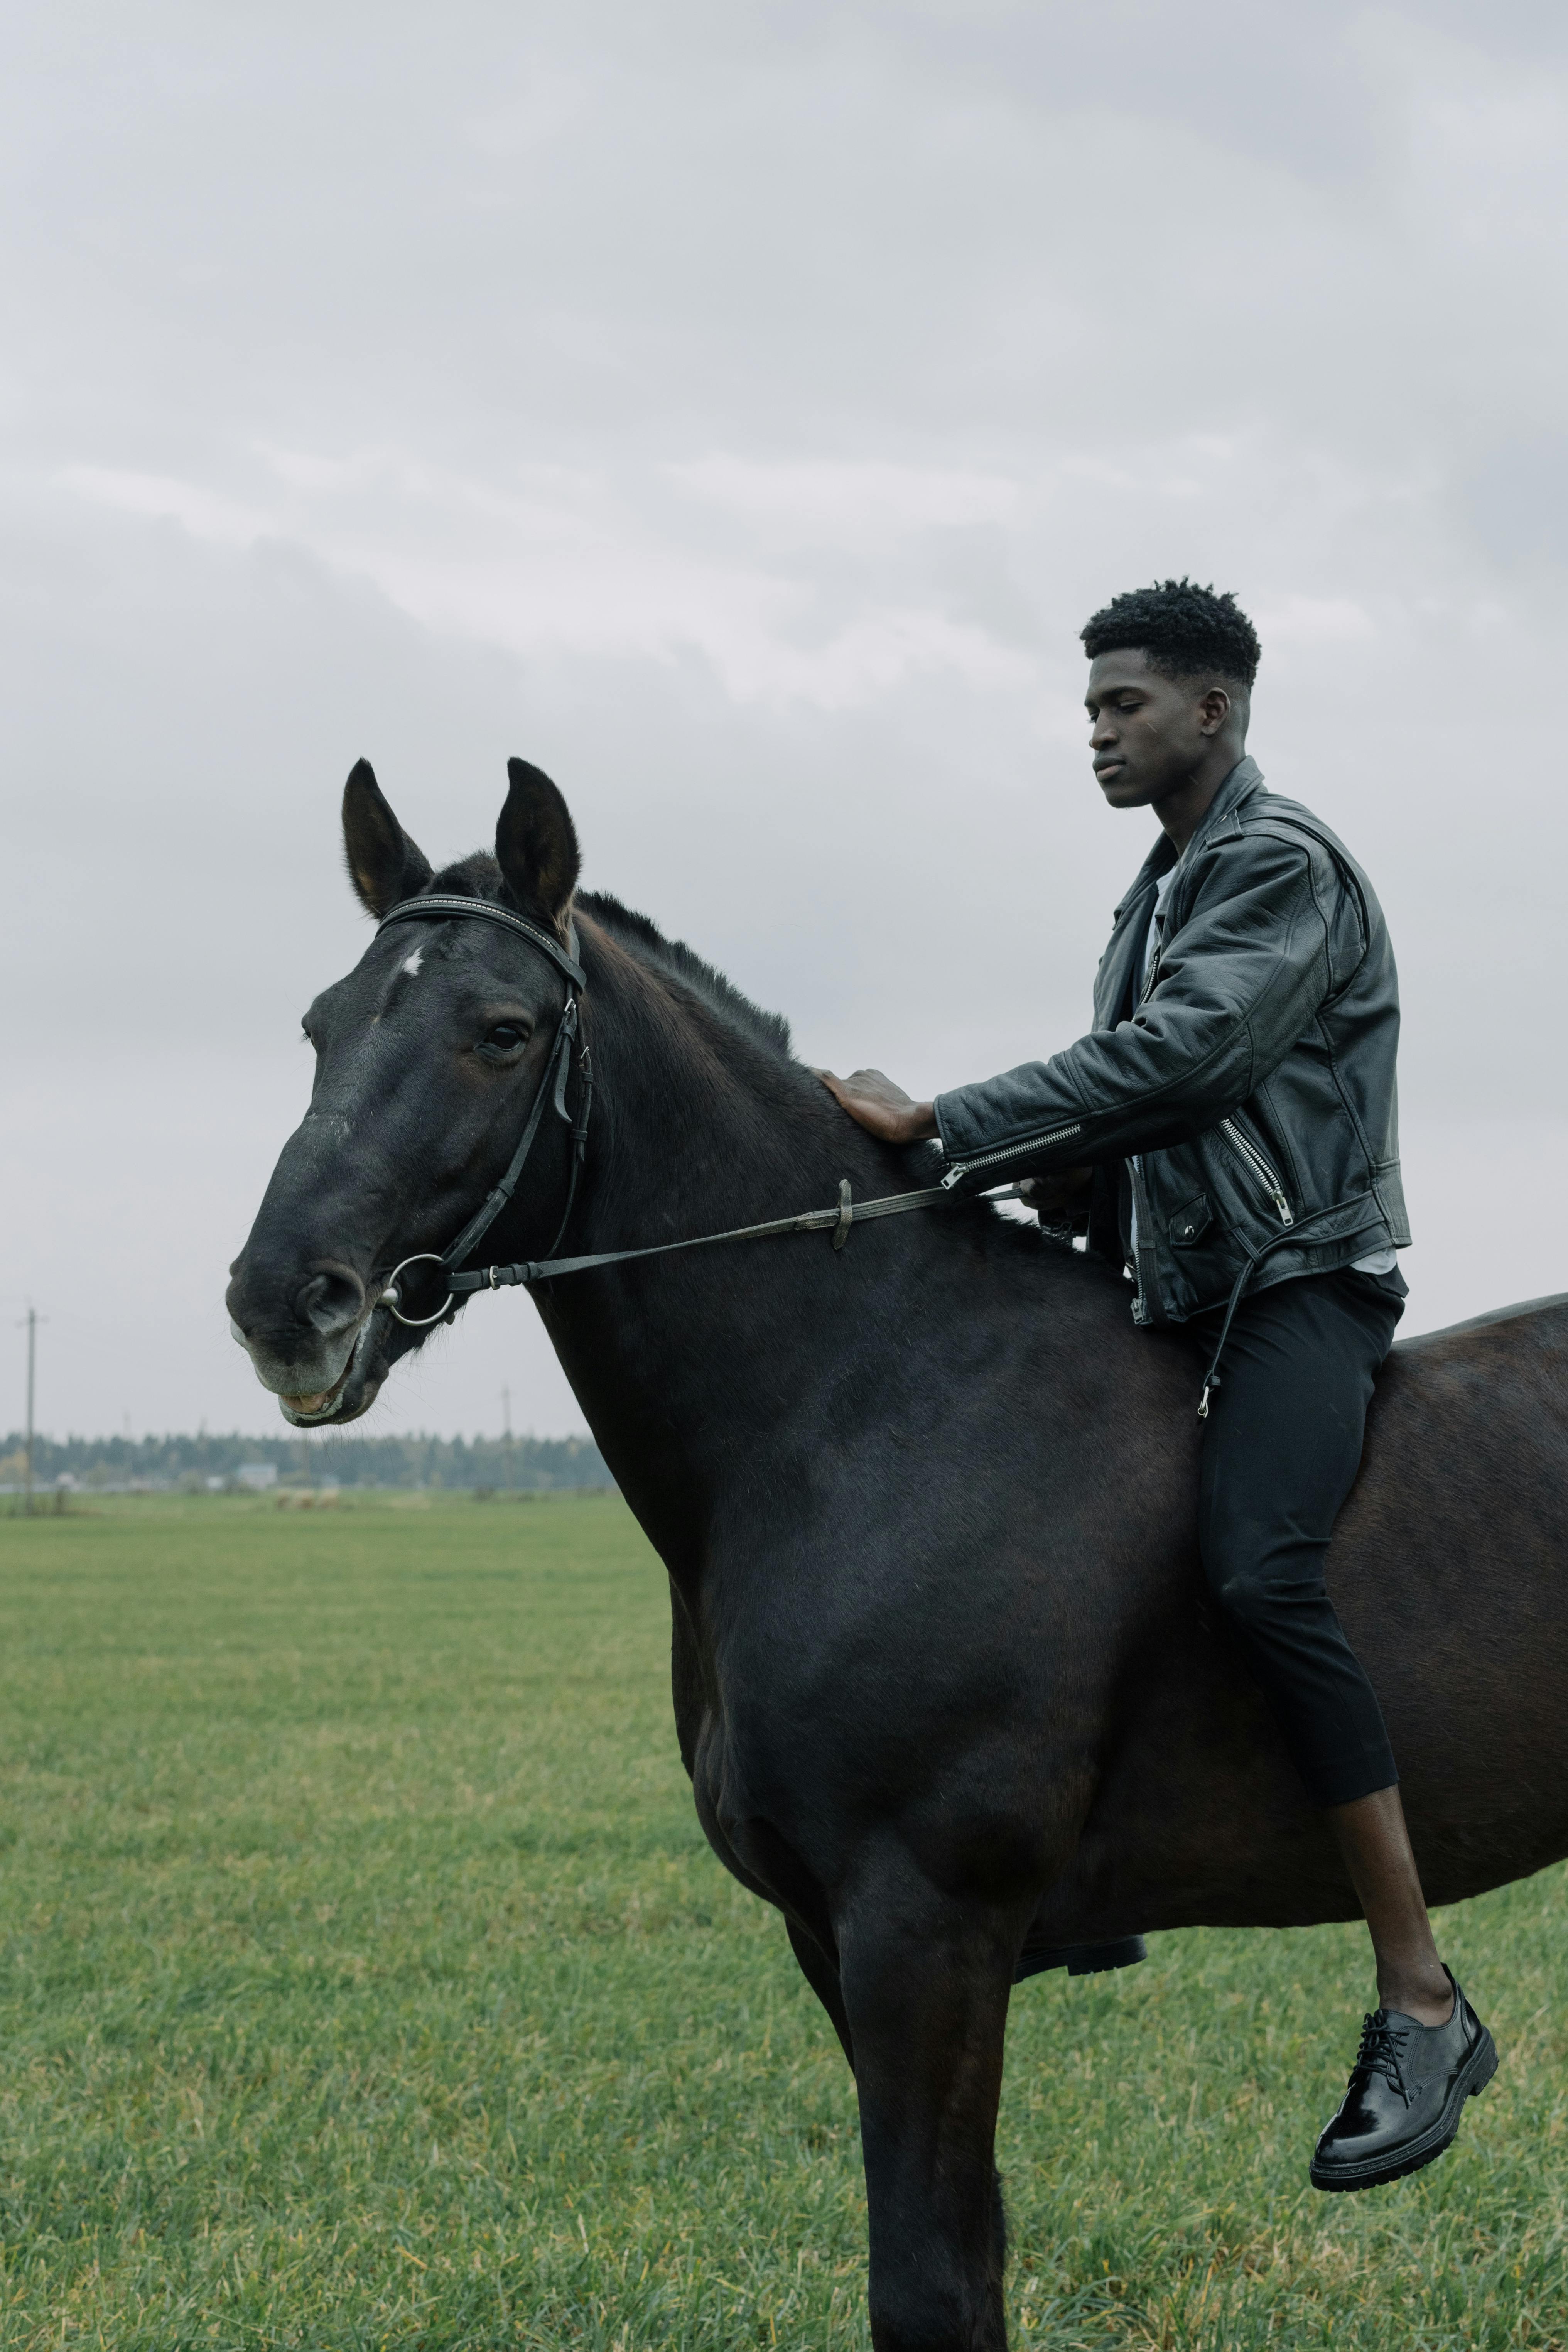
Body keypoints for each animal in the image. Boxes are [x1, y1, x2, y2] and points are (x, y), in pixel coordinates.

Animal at [227, 756, 1568, 2352]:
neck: (867, 1403)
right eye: (321, 1022)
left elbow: (925, 2283)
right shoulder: (835, 1942)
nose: (282, 1301)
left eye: (500, 1031)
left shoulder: (925, 1933)